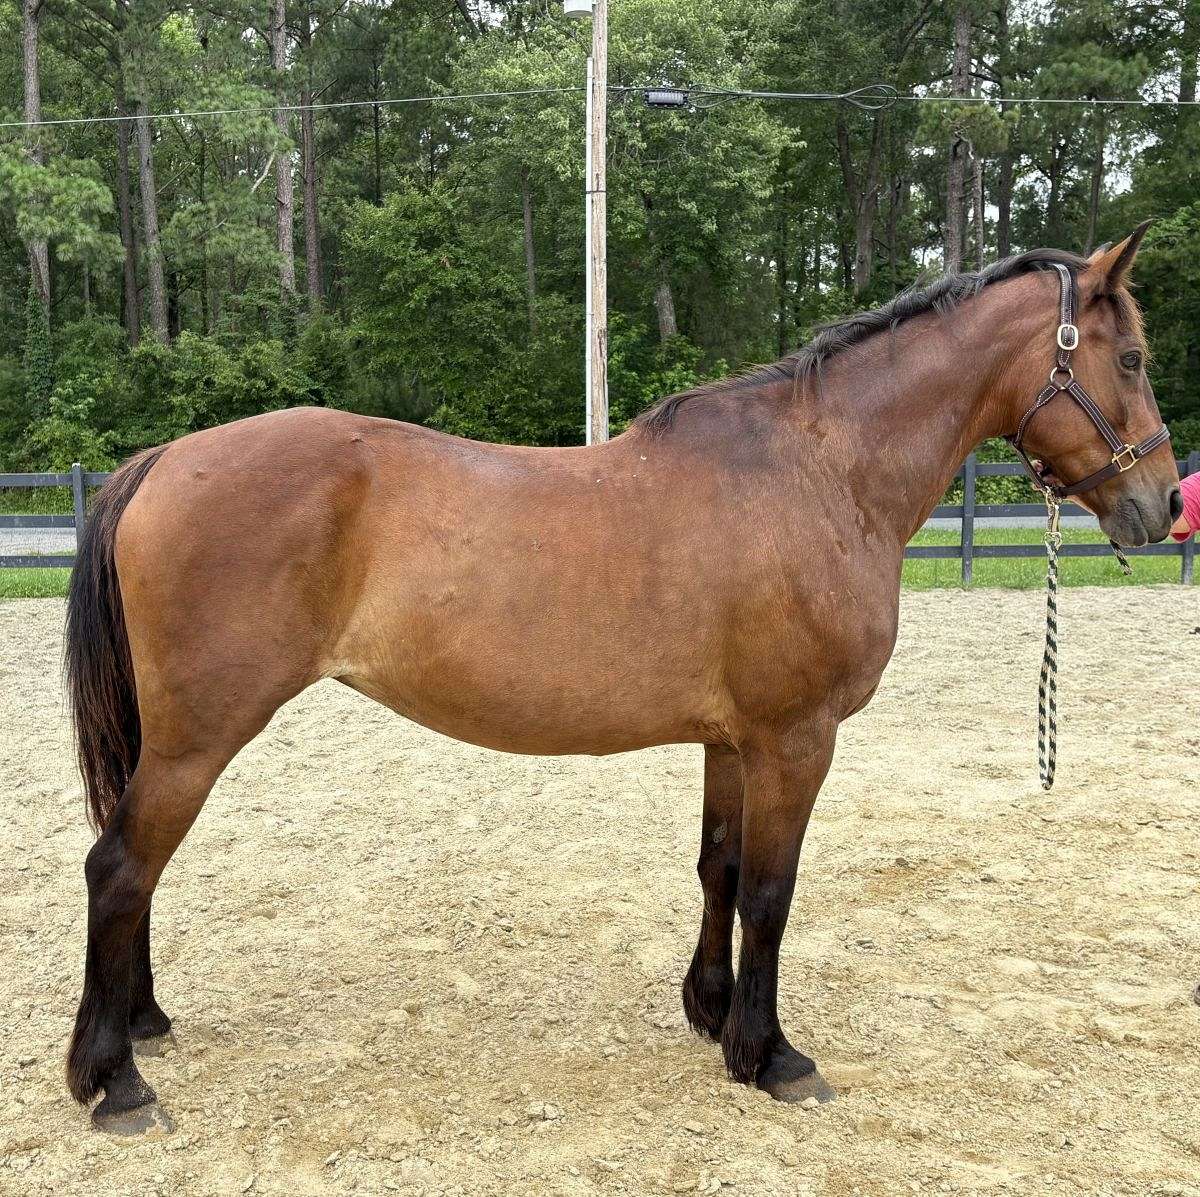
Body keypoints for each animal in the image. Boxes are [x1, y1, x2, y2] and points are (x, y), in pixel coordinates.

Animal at [63, 226, 1181, 1128]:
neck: (821, 474)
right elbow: (772, 890)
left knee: (137, 865)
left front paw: (712, 1013)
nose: (1165, 506)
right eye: (1130, 357)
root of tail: (161, 461)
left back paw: (143, 1021)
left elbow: (720, 871)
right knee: (119, 868)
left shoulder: (733, 740)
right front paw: (770, 1055)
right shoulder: (795, 737)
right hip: (201, 736)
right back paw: (112, 1080)